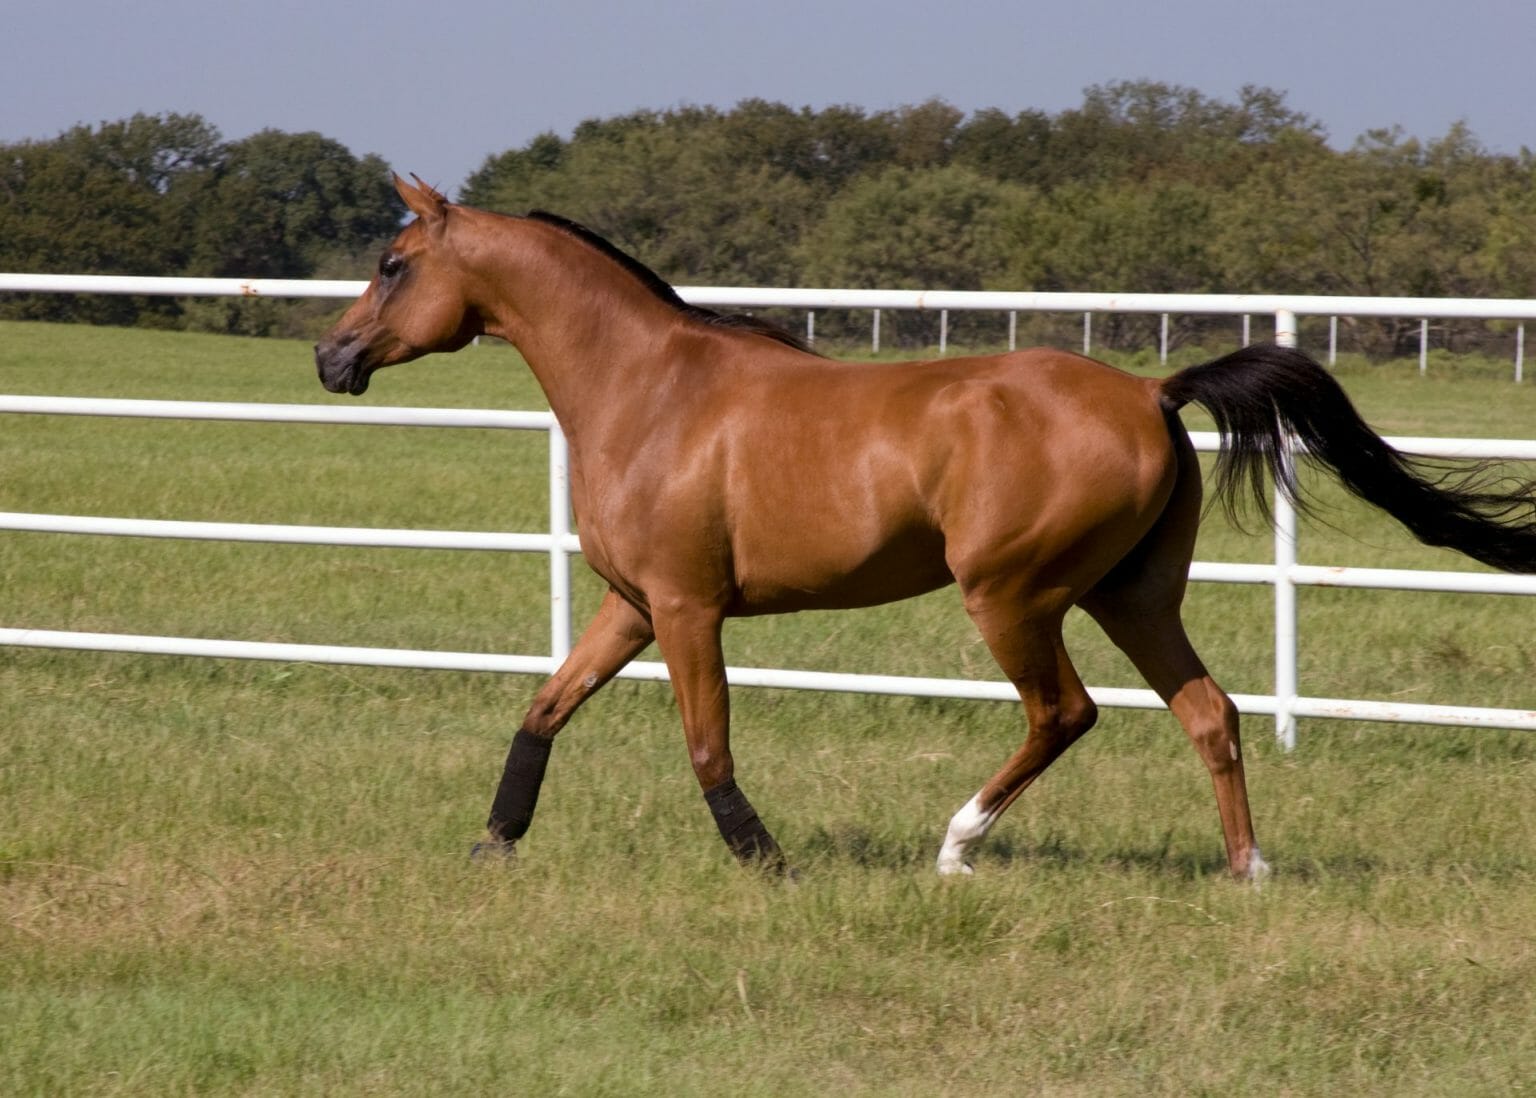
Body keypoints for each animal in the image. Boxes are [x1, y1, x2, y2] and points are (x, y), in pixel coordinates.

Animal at [316, 175, 1536, 879]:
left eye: (392, 264)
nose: (331, 359)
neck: (647, 388)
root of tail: (1152, 393)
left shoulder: (687, 607)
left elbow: (708, 742)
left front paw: (768, 862)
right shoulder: (630, 605)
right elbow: (545, 708)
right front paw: (492, 844)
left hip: (1013, 597)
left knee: (1066, 713)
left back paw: (955, 847)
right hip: (1133, 594)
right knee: (1209, 712)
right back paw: (1248, 869)